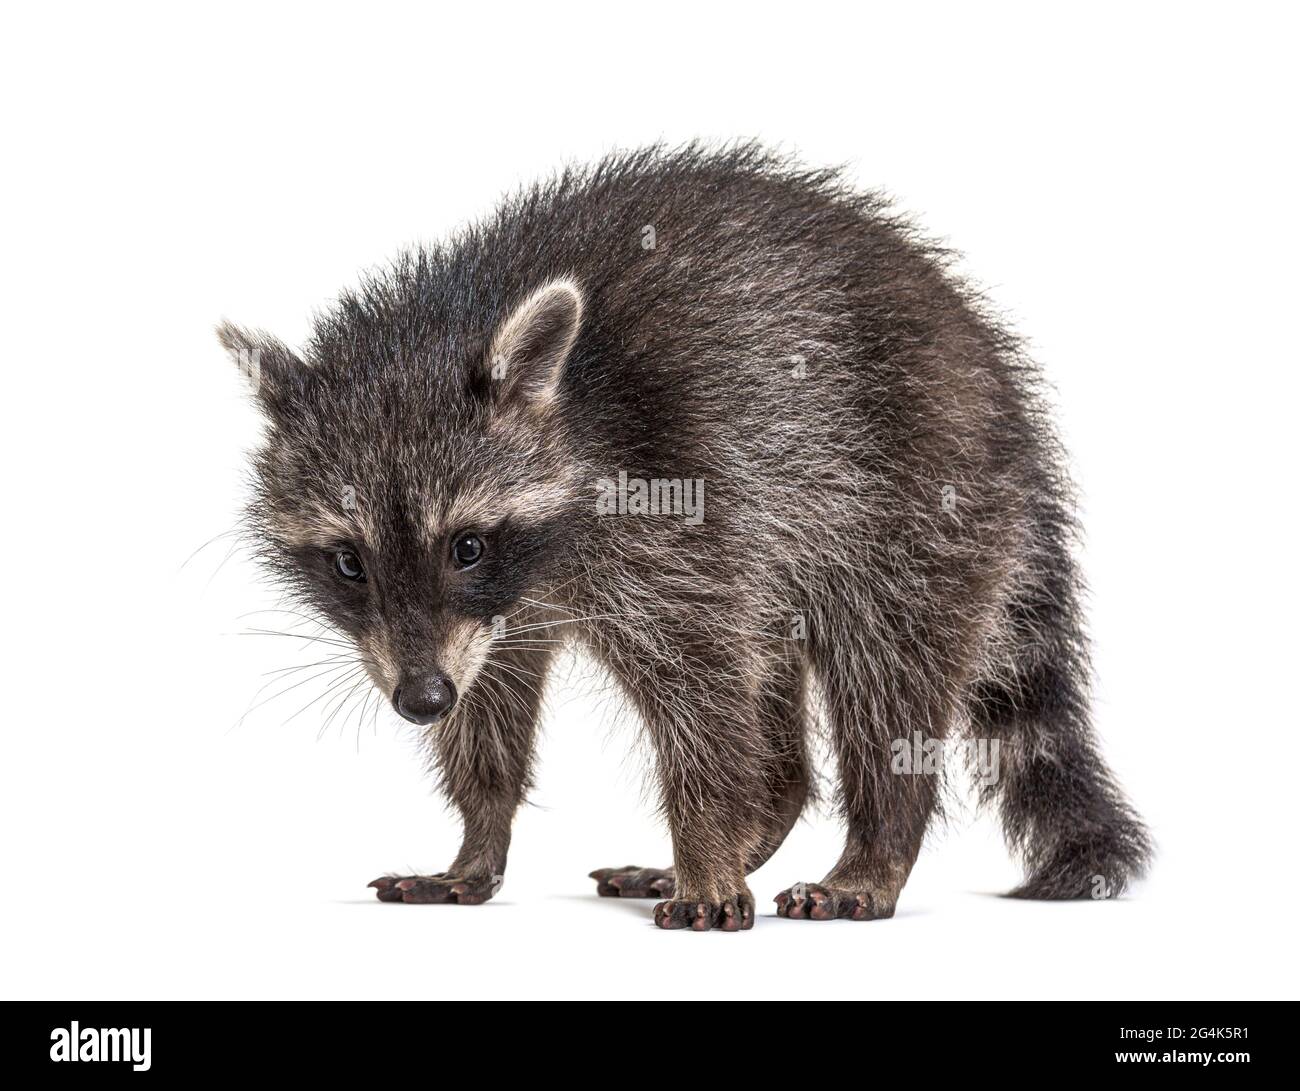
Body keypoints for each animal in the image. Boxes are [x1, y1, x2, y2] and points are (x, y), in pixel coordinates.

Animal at [220, 143, 1151, 931]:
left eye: (467, 546)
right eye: (349, 562)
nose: (419, 700)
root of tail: (997, 383)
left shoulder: (667, 501)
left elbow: (700, 690)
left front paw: (706, 841)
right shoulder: (489, 620)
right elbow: (491, 702)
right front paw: (478, 839)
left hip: (911, 498)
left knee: (885, 674)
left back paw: (873, 846)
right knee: (772, 670)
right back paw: (767, 811)